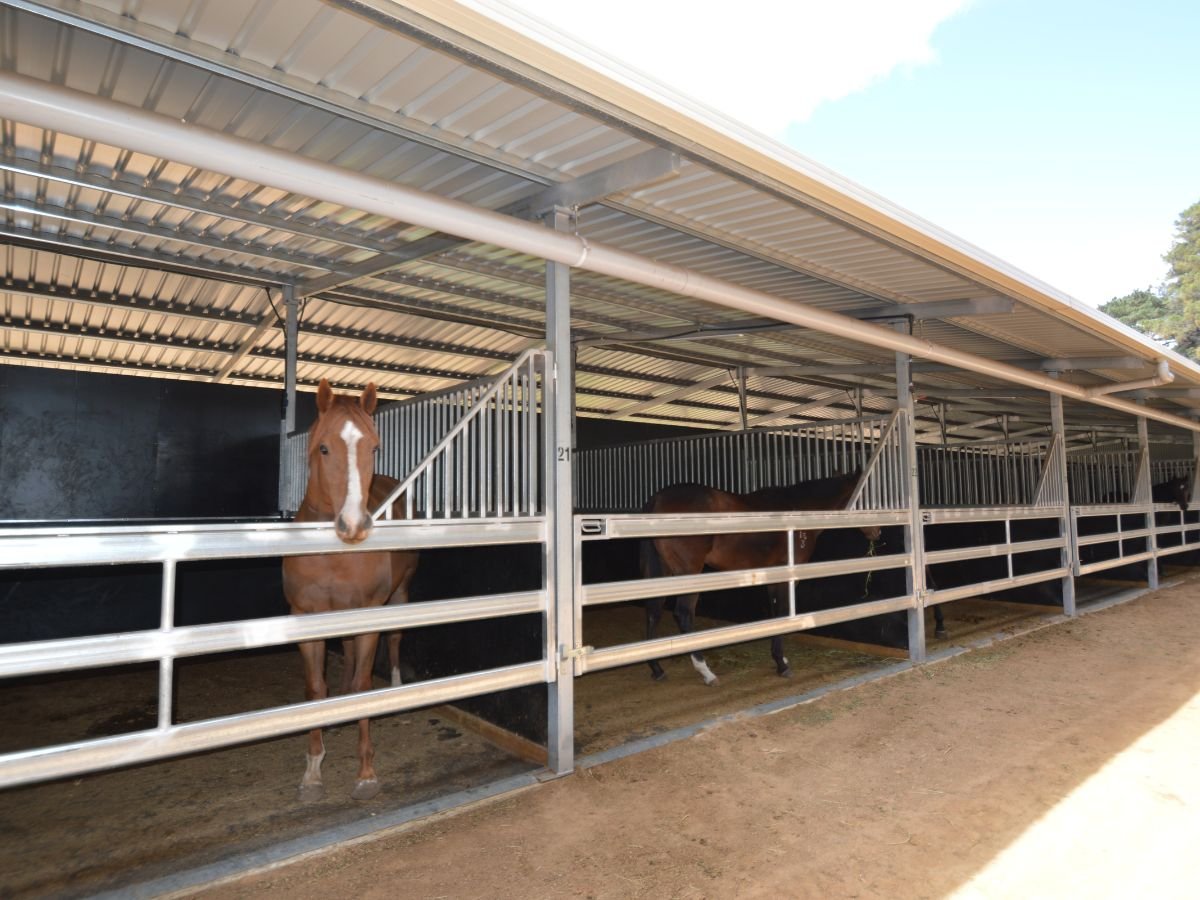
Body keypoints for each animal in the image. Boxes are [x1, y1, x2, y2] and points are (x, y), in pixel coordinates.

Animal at [282, 379, 419, 802]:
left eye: (373, 447)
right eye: (324, 448)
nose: (355, 525)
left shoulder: (370, 612)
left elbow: (363, 682)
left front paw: (366, 773)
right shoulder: (306, 617)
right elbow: (315, 687)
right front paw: (312, 771)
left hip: (400, 594)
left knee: (396, 639)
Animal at [639, 470, 882, 685]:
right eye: (865, 496)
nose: (878, 532)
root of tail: (658, 500)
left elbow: (774, 614)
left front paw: (780, 659)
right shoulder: (787, 574)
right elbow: (782, 612)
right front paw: (782, 665)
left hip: (663, 572)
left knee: (653, 610)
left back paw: (657, 669)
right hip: (689, 573)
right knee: (684, 614)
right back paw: (705, 671)